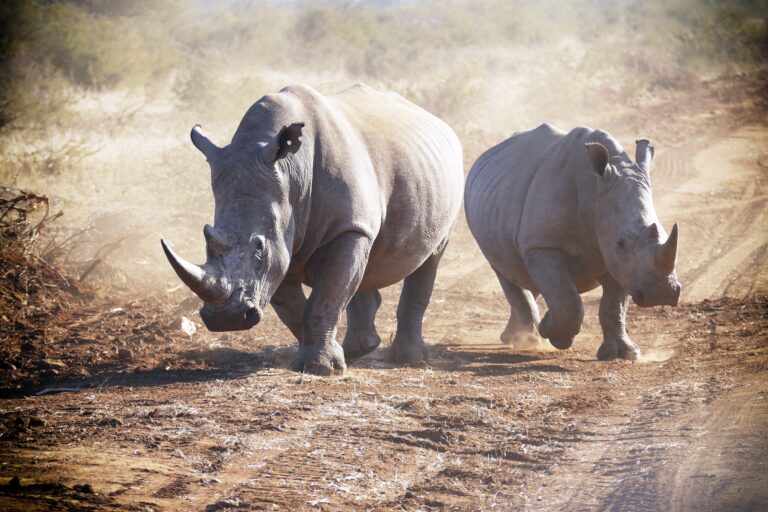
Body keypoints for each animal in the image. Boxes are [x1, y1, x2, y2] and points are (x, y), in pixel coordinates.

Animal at [162, 83, 463, 375]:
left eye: (259, 248)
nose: (226, 319)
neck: (290, 172)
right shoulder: (285, 245)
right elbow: (298, 304)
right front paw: (325, 357)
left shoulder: (338, 229)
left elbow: (325, 296)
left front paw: (321, 367)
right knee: (363, 260)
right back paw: (358, 349)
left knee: (430, 258)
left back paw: (409, 358)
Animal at [465, 124, 681, 360]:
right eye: (621, 243)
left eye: (663, 234)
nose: (662, 293)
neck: (594, 191)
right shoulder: (544, 245)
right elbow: (568, 303)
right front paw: (555, 336)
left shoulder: (620, 262)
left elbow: (614, 305)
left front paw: (623, 353)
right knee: (503, 269)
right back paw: (528, 339)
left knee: (523, 271)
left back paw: (515, 337)